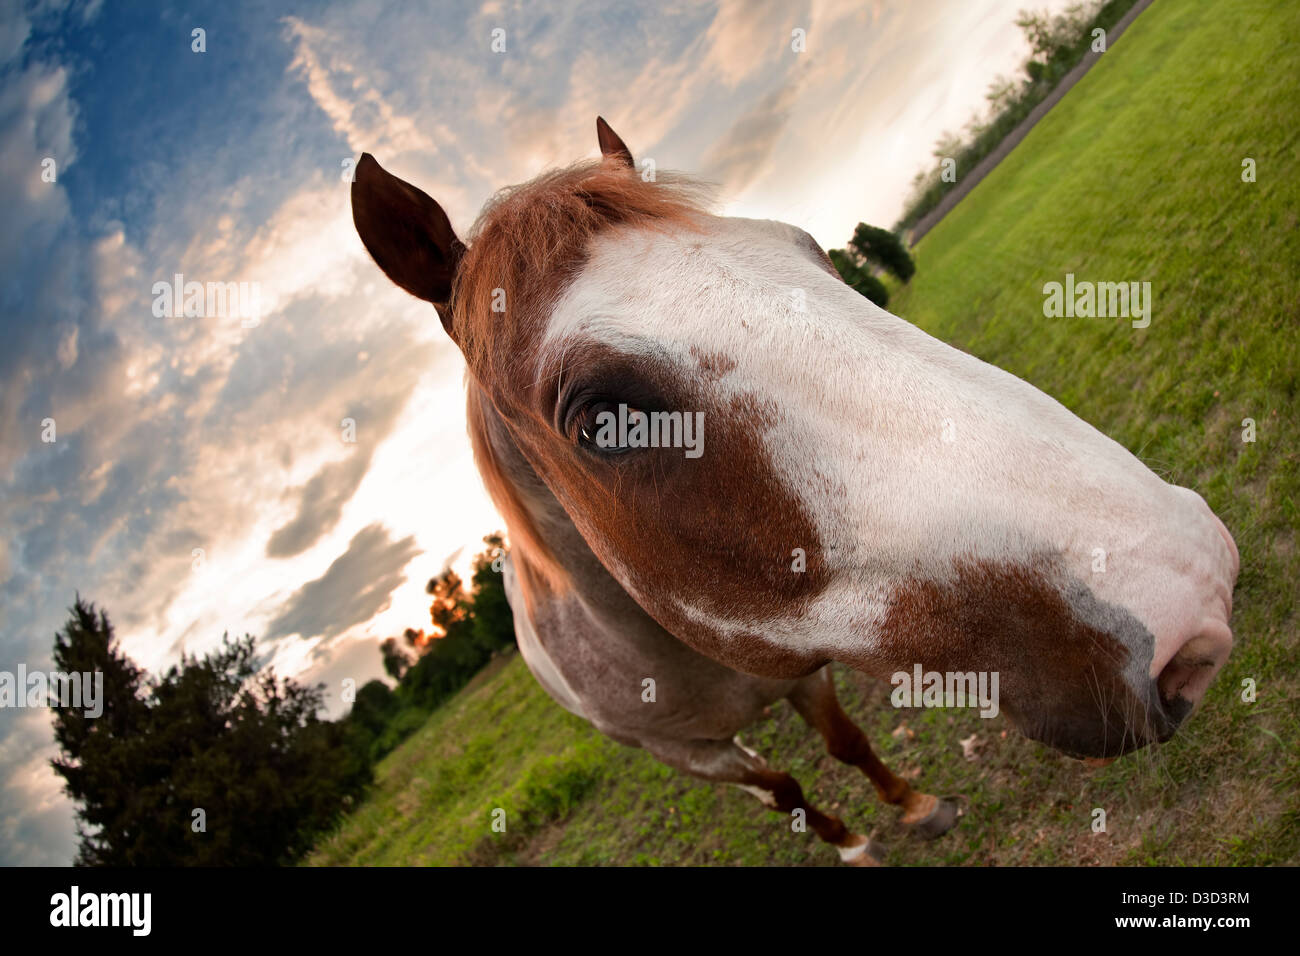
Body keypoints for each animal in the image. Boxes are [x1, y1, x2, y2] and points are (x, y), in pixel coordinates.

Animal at [350, 117, 1240, 864]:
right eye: (605, 421)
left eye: (806, 249)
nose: (1194, 582)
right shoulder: (690, 754)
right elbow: (782, 789)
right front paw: (853, 846)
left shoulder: (802, 669)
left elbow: (846, 742)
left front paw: (916, 807)